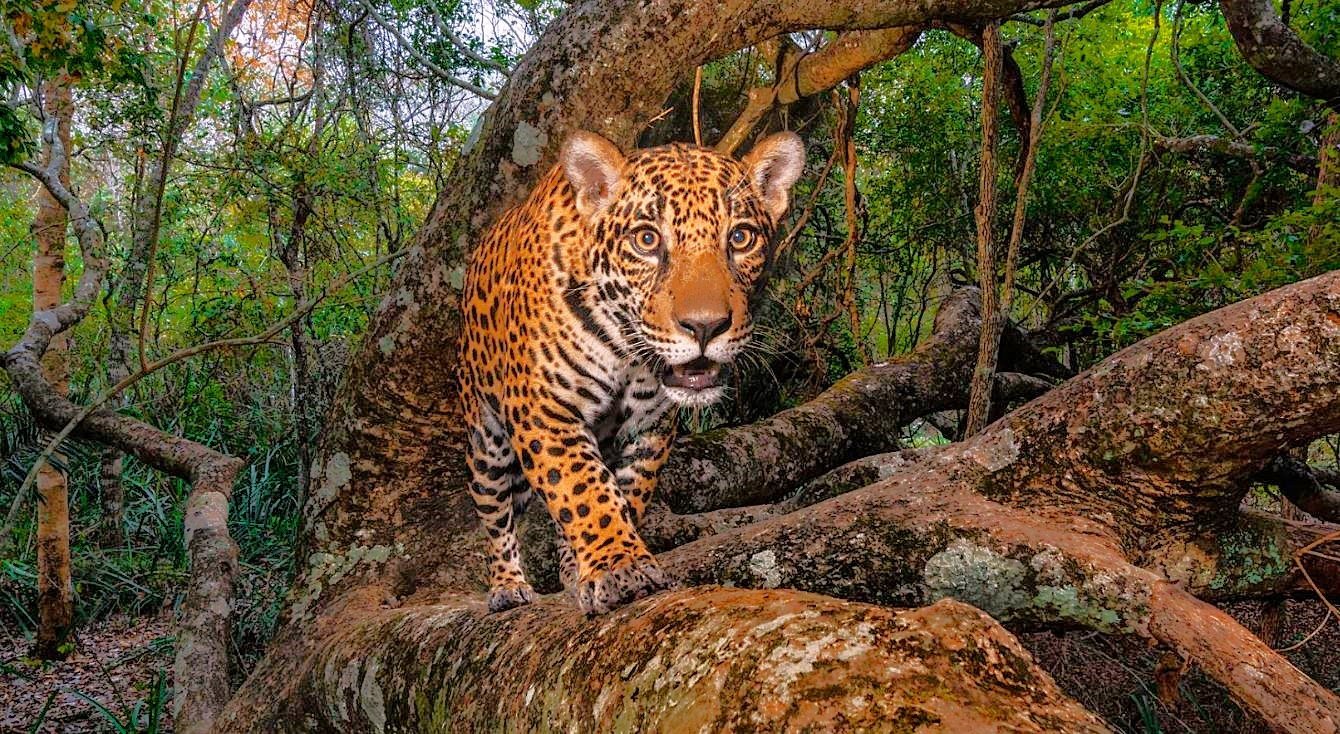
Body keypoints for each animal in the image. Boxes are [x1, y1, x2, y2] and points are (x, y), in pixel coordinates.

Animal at [458, 129, 804, 614]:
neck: (626, 351)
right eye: (646, 240)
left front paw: (603, 561)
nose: (705, 326)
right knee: (494, 514)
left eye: (740, 237)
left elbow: (623, 493)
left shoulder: (649, 425)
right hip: (486, 442)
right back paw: (508, 586)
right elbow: (582, 489)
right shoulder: (545, 413)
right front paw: (618, 568)